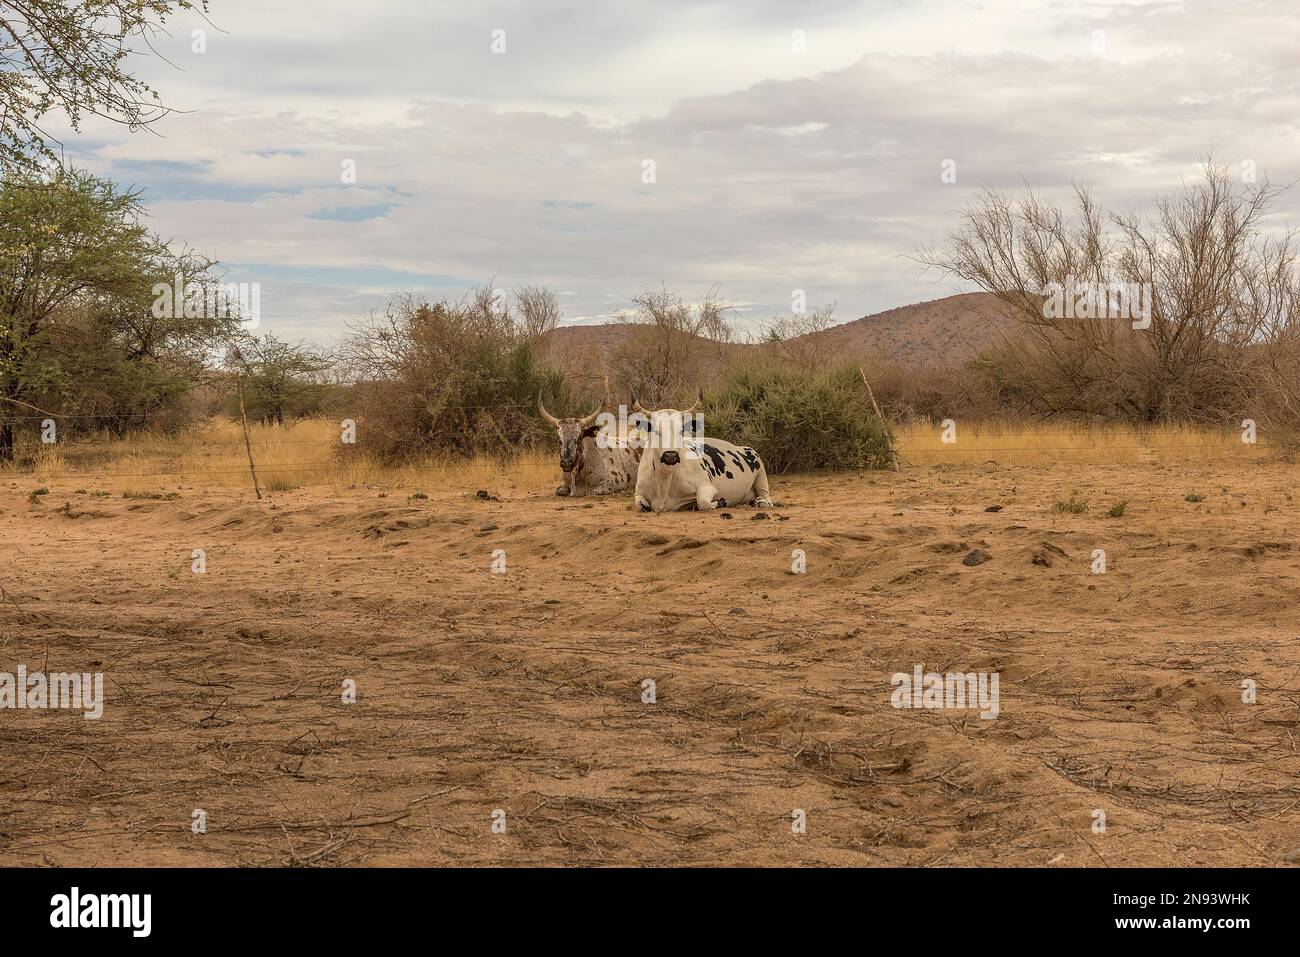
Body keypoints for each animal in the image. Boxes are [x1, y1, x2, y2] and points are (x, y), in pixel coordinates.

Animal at [630, 397, 774, 513]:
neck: (665, 476)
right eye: (655, 430)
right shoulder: (638, 493)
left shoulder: (707, 487)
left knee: (766, 498)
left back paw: (761, 502)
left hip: (760, 471)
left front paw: (720, 502)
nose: (671, 456)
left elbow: (703, 503)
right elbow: (640, 505)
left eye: (682, 430)